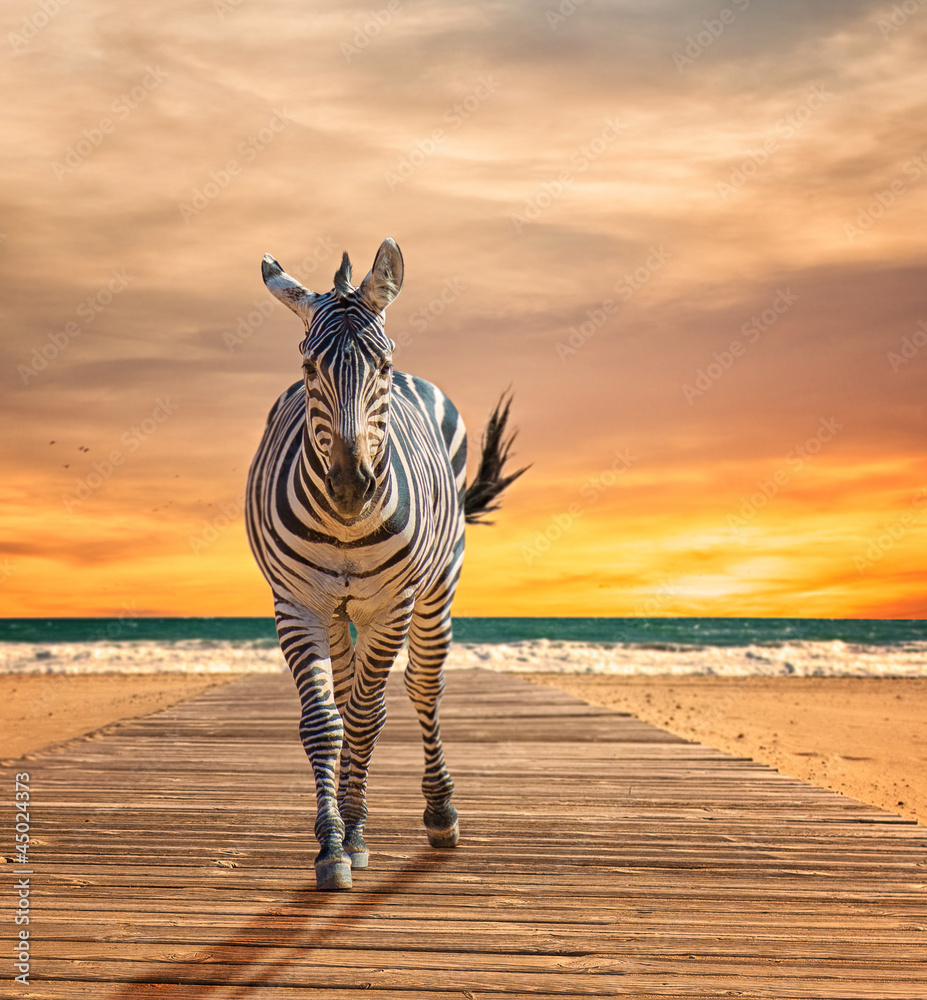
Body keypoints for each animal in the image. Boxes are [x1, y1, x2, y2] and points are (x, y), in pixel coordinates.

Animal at [245, 238, 526, 890]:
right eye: (308, 369)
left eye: (382, 367)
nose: (352, 487)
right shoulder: (298, 604)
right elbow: (326, 722)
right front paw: (332, 843)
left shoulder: (390, 606)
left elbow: (368, 719)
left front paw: (351, 832)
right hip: (340, 610)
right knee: (350, 691)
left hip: (436, 589)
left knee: (423, 685)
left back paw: (441, 812)